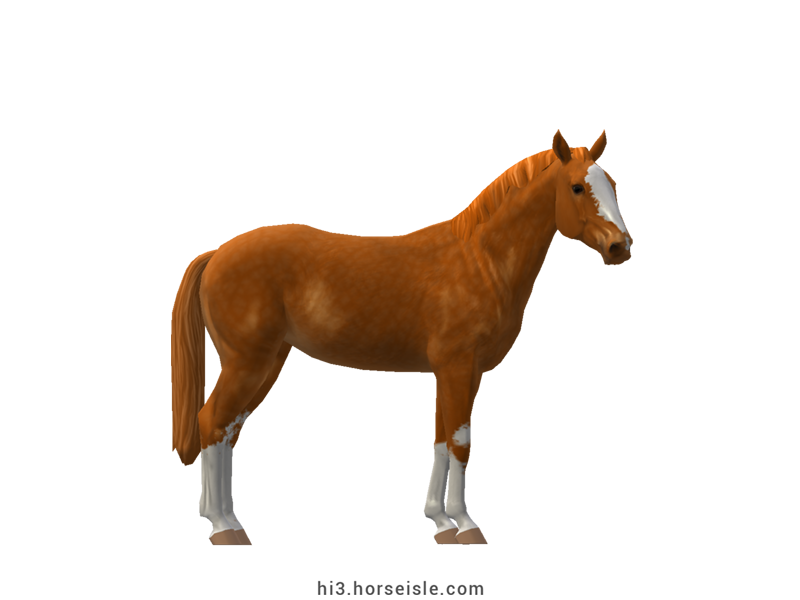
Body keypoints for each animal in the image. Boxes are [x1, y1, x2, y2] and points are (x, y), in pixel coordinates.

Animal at [171, 129, 632, 544]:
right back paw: (219, 527)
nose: (618, 246)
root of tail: (217, 255)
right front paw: (465, 523)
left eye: (610, 184)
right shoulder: (457, 365)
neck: (482, 259)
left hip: (251, 366)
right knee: (211, 423)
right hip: (244, 362)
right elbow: (460, 441)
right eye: (577, 187)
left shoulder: (451, 370)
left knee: (224, 431)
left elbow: (441, 440)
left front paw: (438, 520)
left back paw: (223, 517)